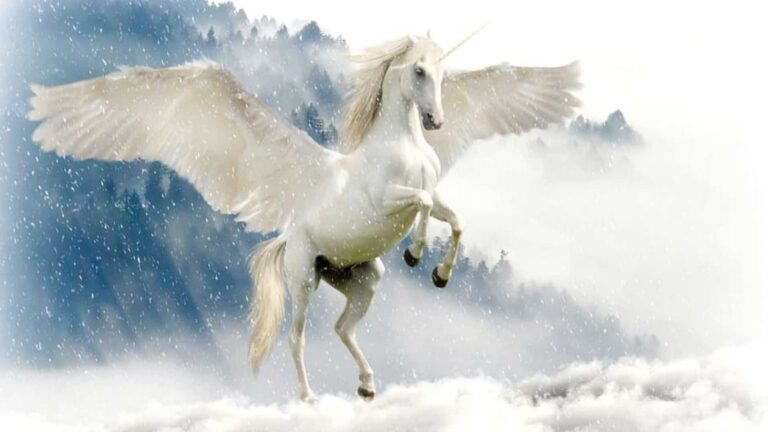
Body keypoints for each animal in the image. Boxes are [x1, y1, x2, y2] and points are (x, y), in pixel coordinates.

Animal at [27, 34, 580, 402]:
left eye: (445, 75)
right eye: (419, 72)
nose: (436, 121)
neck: (398, 144)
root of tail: (289, 240)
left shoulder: (429, 194)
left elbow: (454, 216)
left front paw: (439, 272)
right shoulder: (390, 199)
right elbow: (424, 205)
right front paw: (417, 252)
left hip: (361, 280)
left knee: (342, 330)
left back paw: (367, 385)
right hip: (303, 280)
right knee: (296, 338)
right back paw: (310, 397)